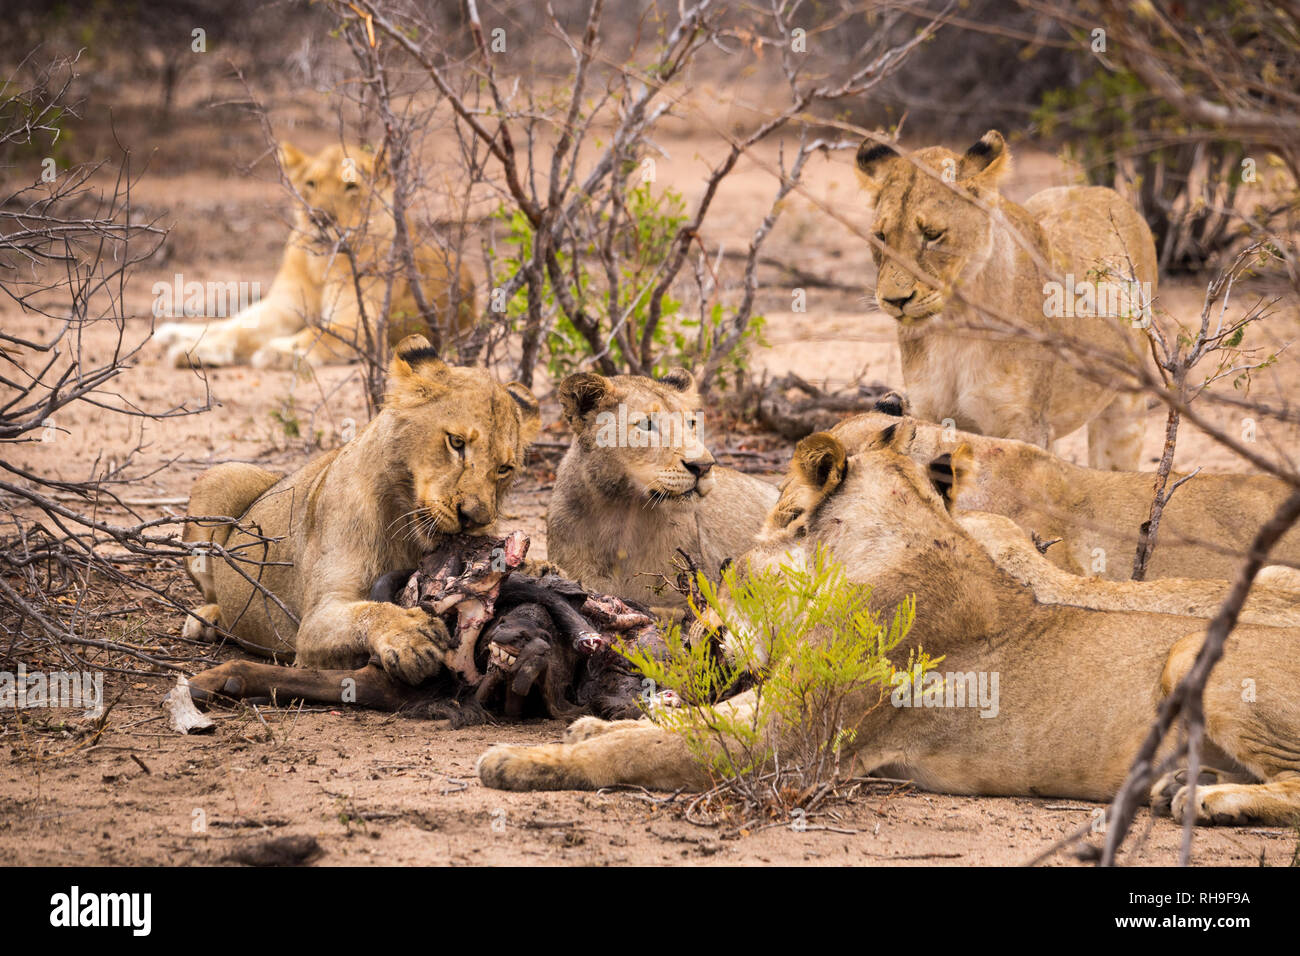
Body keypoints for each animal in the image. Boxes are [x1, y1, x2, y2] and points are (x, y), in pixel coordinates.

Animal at [154, 142, 475, 369]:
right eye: (311, 184)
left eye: (351, 186)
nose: (319, 218)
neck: (321, 262)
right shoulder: (283, 308)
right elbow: (242, 331)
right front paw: (197, 350)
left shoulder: (362, 326)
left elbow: (317, 333)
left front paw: (277, 351)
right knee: (233, 321)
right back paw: (174, 335)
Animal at [179, 335, 539, 684]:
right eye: (456, 442)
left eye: (504, 469)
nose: (475, 519)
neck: (406, 532)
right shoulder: (313, 623)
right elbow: (369, 611)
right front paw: (410, 634)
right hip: (220, 476)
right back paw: (207, 620)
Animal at [477, 426, 1300, 829]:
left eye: (731, 567)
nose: (693, 635)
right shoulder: (775, 704)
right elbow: (680, 722)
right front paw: (595, 726)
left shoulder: (790, 747)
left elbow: (648, 749)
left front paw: (524, 762)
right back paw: (1189, 787)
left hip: (1196, 651)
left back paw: (1206, 801)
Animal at [855, 130, 1156, 470]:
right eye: (881, 236)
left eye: (932, 234)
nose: (895, 300)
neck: (956, 326)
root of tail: (1102, 191)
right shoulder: (926, 411)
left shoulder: (1026, 426)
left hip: (1125, 410)